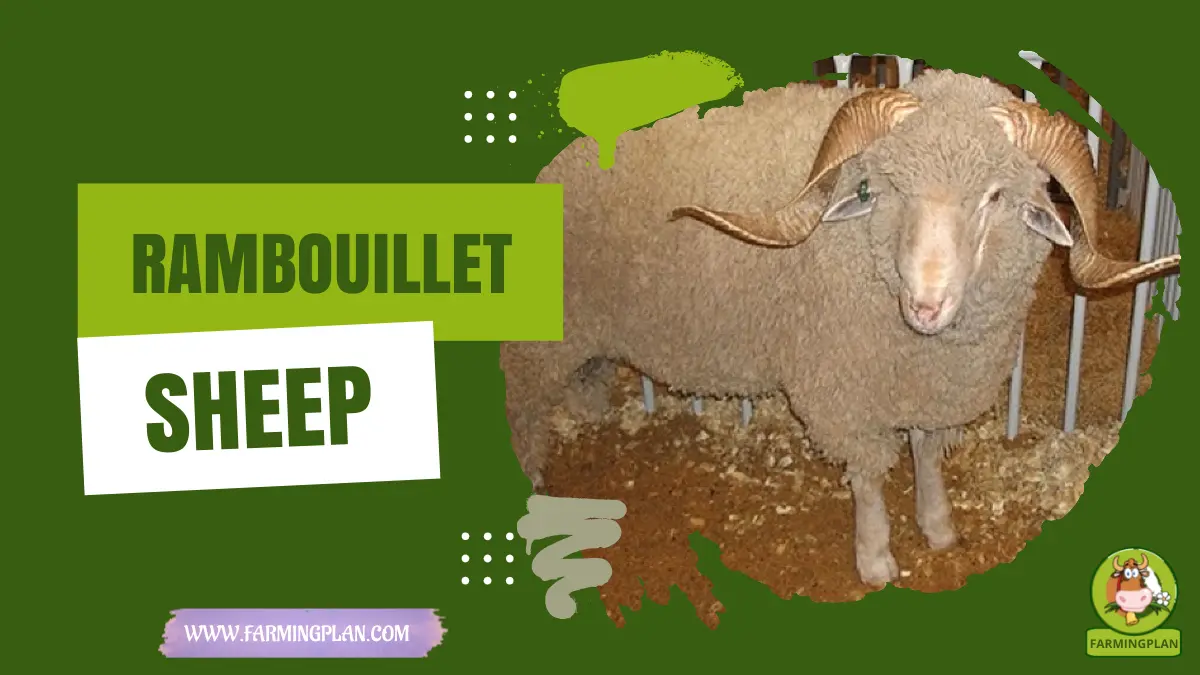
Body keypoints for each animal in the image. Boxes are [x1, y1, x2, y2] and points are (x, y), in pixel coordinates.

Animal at [499, 69, 1181, 586]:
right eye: (889, 187)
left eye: (994, 196)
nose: (925, 306)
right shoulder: (845, 391)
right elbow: (870, 476)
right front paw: (876, 559)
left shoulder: (927, 387)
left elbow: (926, 453)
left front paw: (938, 527)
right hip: (532, 346)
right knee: (524, 412)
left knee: (581, 381)